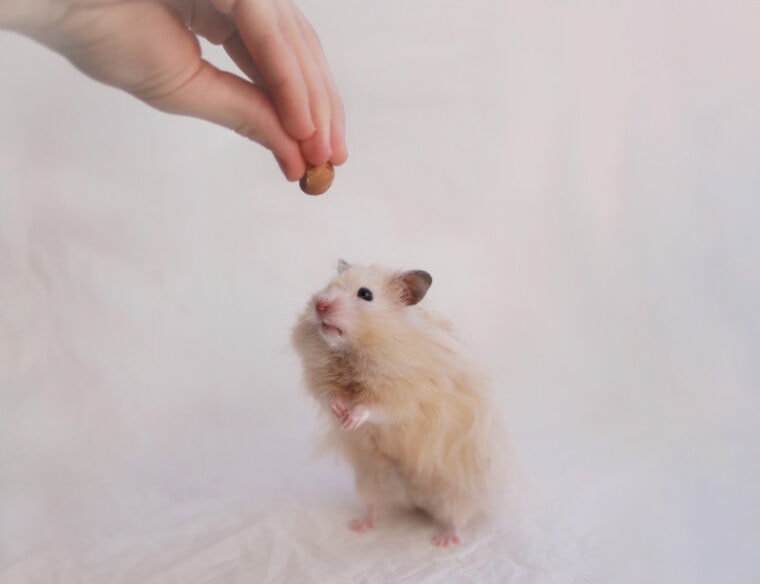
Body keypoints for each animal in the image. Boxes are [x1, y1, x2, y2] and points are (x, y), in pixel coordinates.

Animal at [291, 260, 502, 547]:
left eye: (365, 294)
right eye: (328, 285)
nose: (320, 304)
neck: (352, 354)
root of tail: (419, 501)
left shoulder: (405, 395)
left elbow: (376, 407)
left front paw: (350, 420)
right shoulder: (320, 378)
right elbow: (329, 394)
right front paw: (339, 411)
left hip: (458, 490)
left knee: (458, 517)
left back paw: (444, 541)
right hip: (372, 479)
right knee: (374, 506)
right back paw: (359, 526)